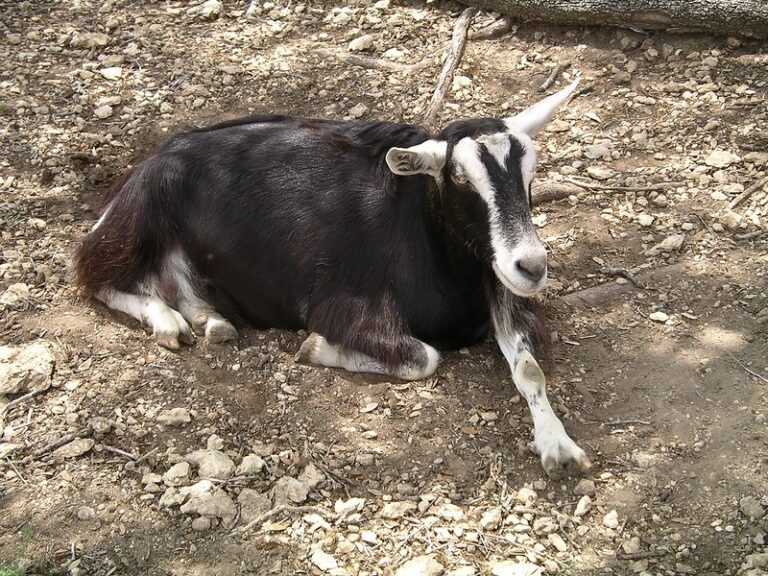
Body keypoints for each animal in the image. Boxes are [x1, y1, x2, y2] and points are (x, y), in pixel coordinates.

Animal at [74, 79, 590, 477]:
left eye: (531, 170)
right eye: (459, 176)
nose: (531, 265)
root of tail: (154, 158)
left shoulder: (497, 286)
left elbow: (529, 367)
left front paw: (558, 446)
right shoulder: (344, 301)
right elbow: (421, 358)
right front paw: (315, 347)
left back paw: (210, 320)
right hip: (137, 221)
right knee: (92, 273)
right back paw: (166, 321)